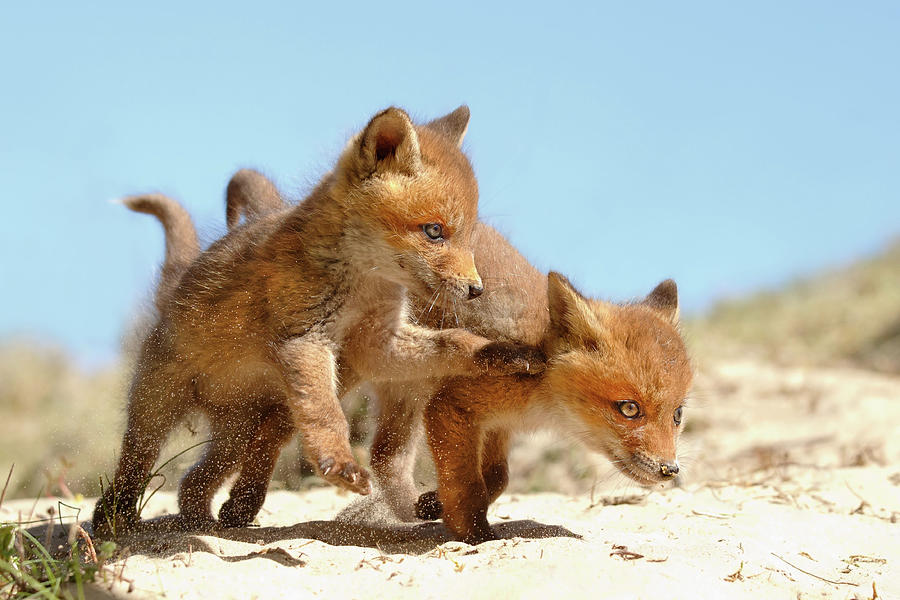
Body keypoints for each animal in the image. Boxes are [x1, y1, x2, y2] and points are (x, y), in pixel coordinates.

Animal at [92, 106, 543, 536]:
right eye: (434, 231)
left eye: (468, 237)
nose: (477, 289)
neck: (365, 285)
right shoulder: (306, 338)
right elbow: (327, 415)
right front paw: (340, 465)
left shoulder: (377, 345)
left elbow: (454, 341)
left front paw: (499, 352)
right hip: (156, 407)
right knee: (135, 466)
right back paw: (113, 519)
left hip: (238, 432)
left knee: (195, 478)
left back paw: (203, 521)